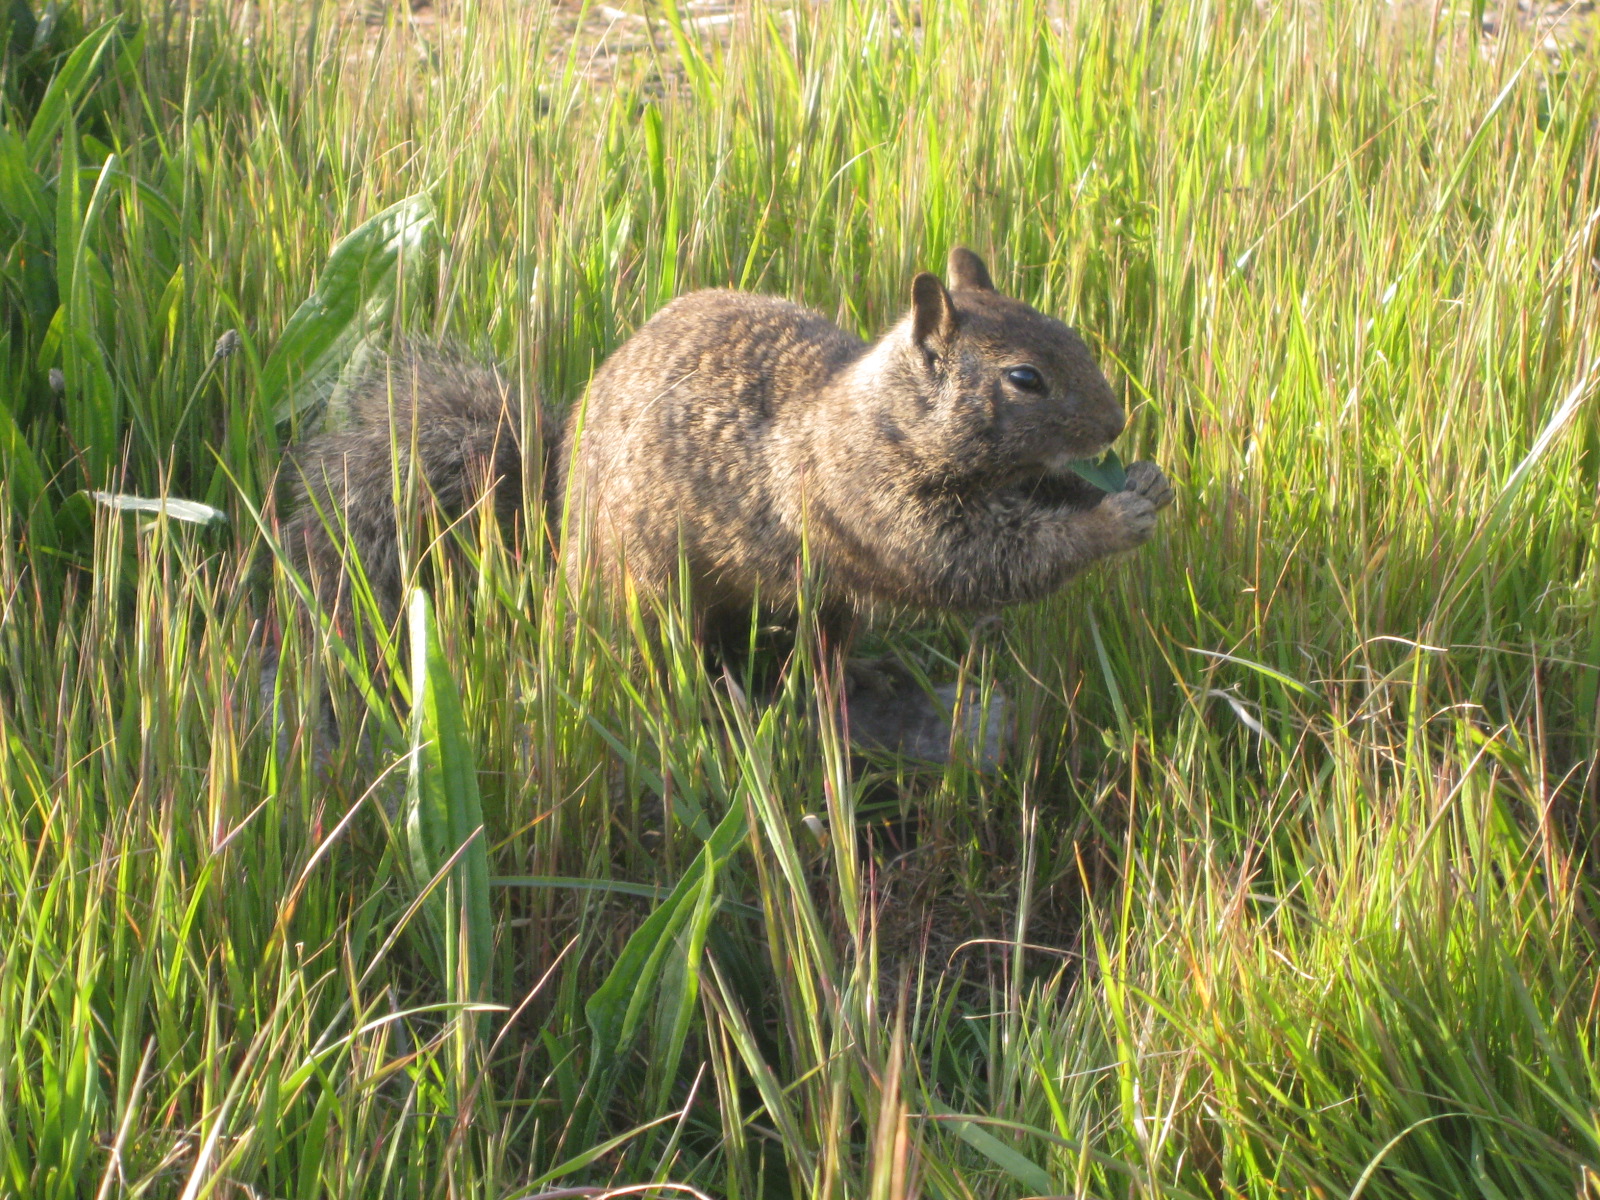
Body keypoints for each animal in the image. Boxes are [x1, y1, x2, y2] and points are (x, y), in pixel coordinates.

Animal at [283, 248, 1173, 660]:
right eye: (1024, 378)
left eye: (1068, 332)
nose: (1115, 423)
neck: (877, 415)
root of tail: (560, 516)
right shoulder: (870, 503)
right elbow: (978, 562)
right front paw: (1116, 521)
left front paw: (1146, 482)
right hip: (649, 584)